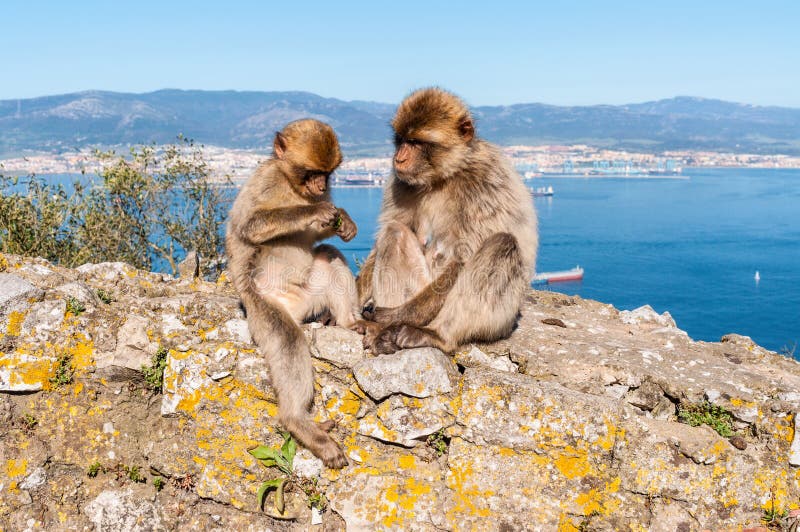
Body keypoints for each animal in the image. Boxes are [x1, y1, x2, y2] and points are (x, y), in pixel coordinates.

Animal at [226, 119, 359, 468]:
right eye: (310, 172)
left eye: (327, 173)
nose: (320, 186)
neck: (292, 186)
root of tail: (296, 310)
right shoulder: (265, 180)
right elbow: (251, 225)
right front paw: (313, 212)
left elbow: (318, 239)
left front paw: (345, 221)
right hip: (264, 309)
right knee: (288, 342)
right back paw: (298, 421)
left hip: (311, 295)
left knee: (327, 256)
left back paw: (350, 323)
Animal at [355, 88, 538, 355]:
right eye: (401, 139)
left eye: (416, 142)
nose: (398, 158)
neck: (443, 176)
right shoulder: (399, 183)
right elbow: (387, 234)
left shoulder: (484, 185)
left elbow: (463, 258)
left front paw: (393, 317)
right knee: (394, 231)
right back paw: (381, 333)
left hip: (500, 320)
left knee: (502, 244)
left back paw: (434, 334)